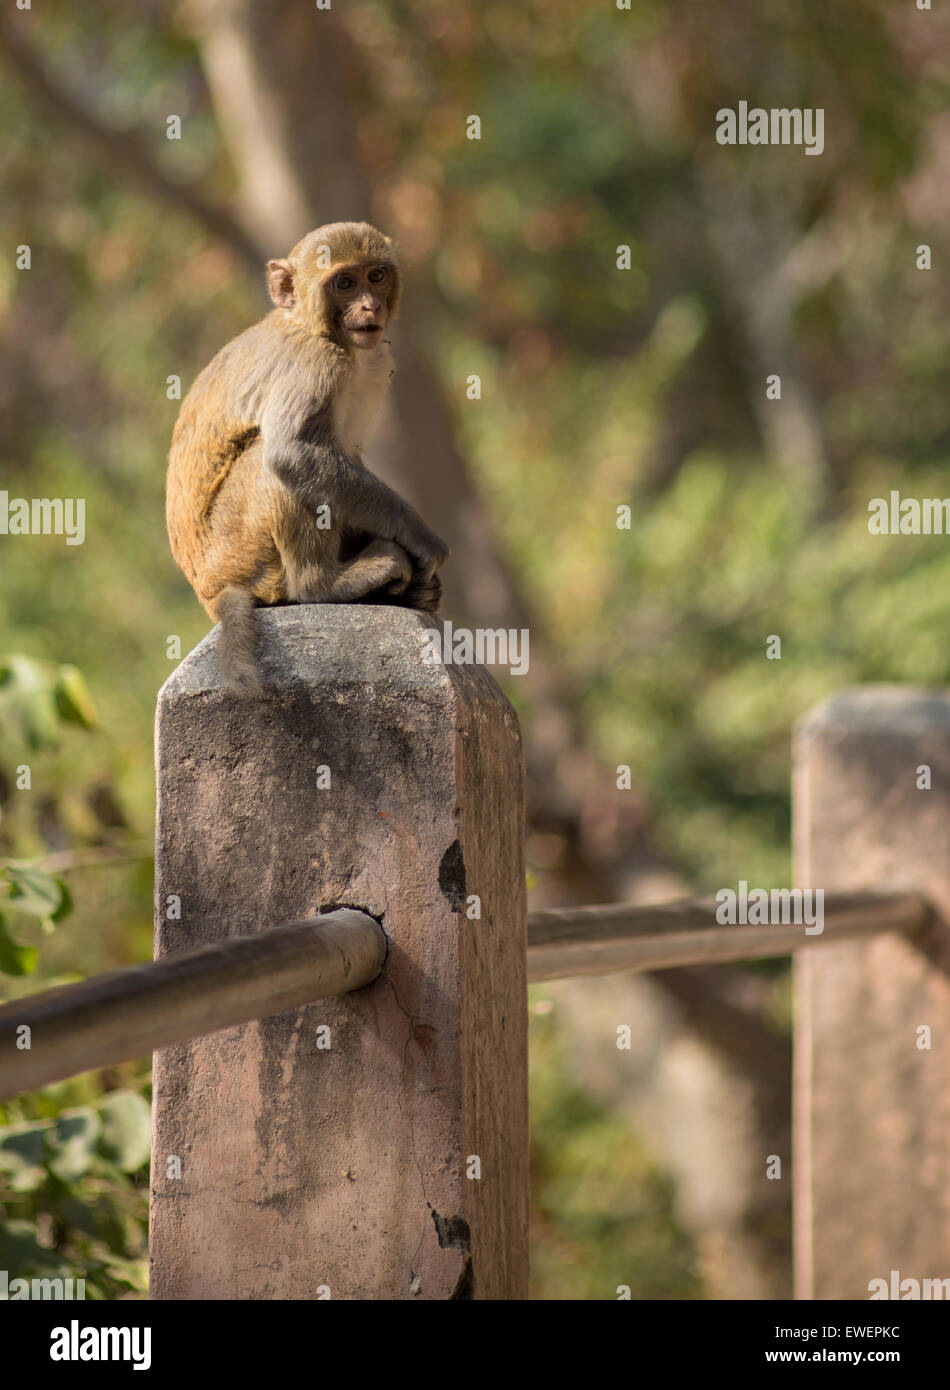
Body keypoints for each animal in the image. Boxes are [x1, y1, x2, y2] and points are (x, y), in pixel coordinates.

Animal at [166, 221, 449, 696]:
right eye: (344, 283)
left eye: (376, 276)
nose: (370, 305)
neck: (318, 329)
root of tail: (206, 590)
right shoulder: (315, 363)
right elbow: (294, 453)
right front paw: (420, 538)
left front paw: (420, 587)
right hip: (241, 554)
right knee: (271, 461)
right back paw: (322, 583)